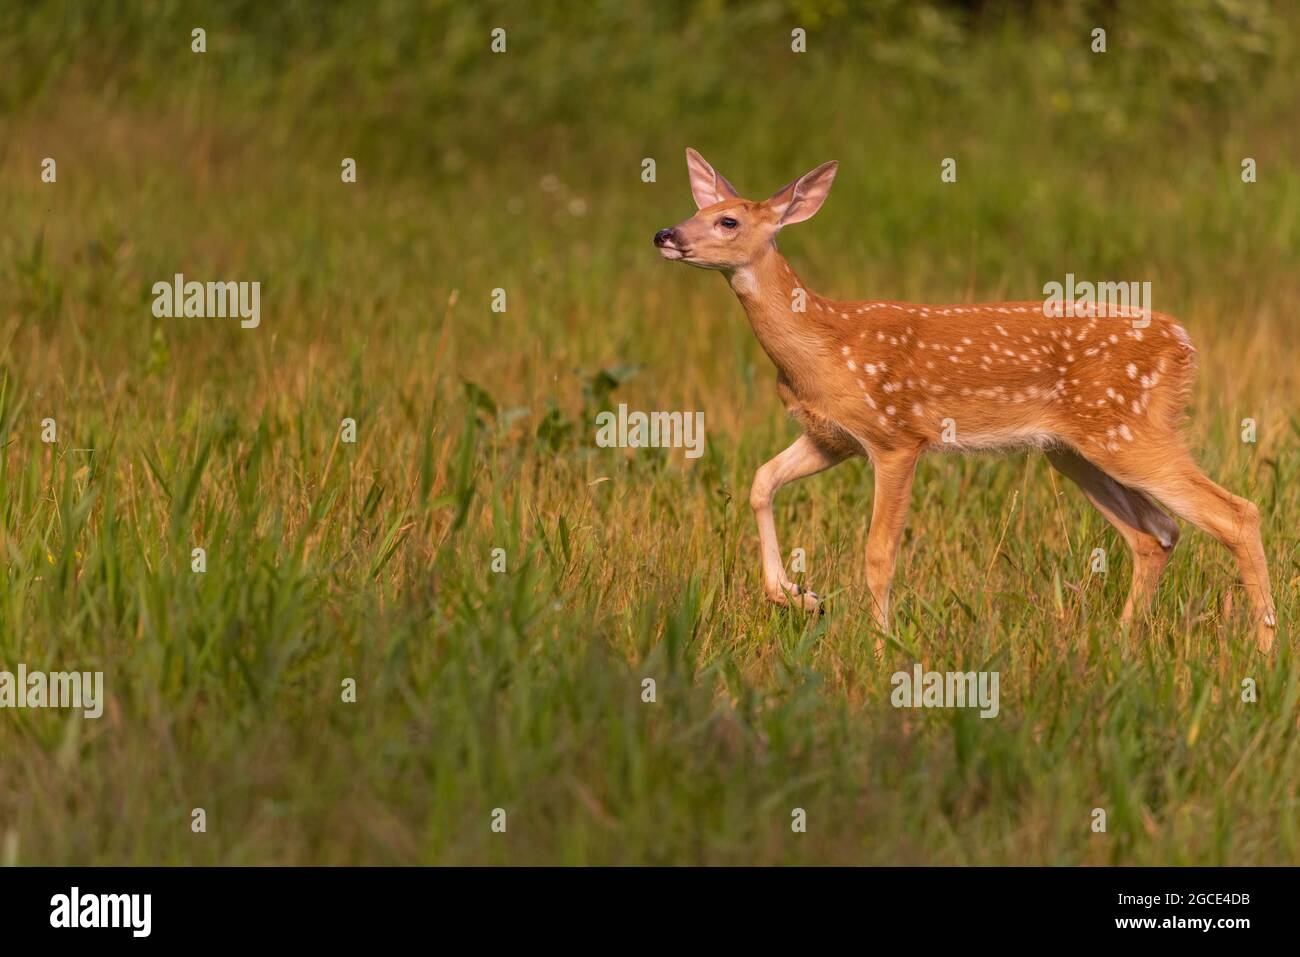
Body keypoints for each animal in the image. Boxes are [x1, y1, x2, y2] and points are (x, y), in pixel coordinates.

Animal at [654, 148, 1277, 652]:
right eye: (696, 210)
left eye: (728, 220)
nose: (666, 235)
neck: (824, 348)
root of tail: (1184, 342)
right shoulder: (831, 438)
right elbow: (761, 482)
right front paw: (797, 596)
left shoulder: (897, 436)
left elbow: (878, 554)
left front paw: (879, 648)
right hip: (1075, 450)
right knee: (1157, 534)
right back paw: (1122, 644)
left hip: (1130, 431)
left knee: (1235, 513)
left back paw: (1266, 648)